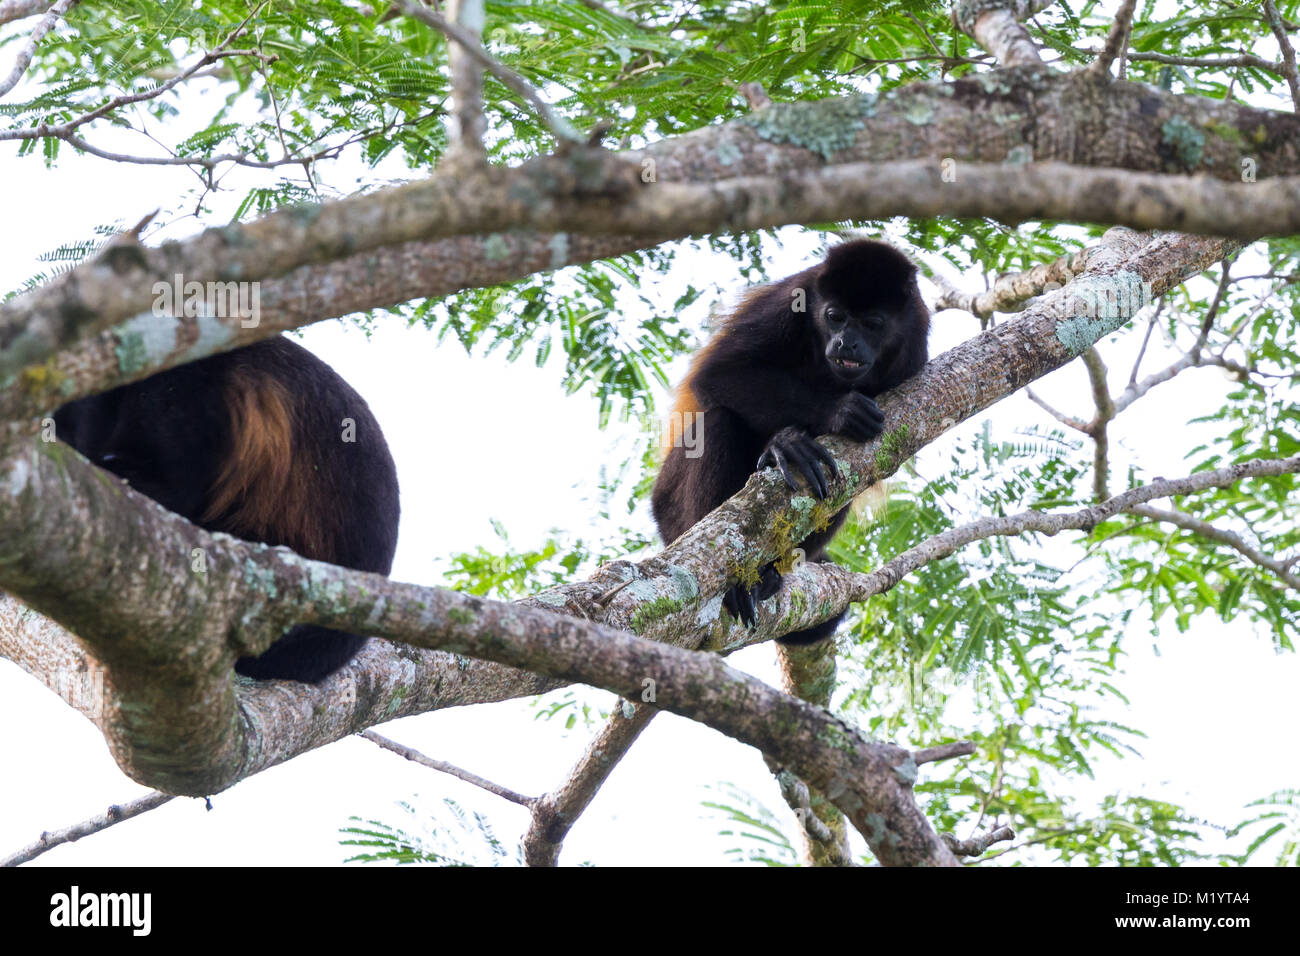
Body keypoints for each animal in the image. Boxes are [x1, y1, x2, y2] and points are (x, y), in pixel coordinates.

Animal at [651, 239, 929, 645]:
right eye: (834, 316)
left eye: (873, 324)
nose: (846, 343)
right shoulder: (789, 300)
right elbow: (718, 373)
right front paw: (820, 422)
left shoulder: (915, 346)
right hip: (667, 508)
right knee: (718, 423)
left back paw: (768, 576)